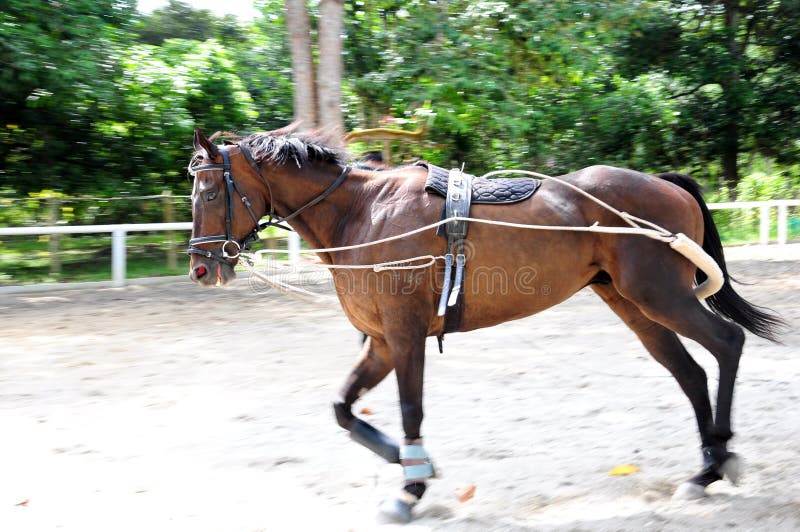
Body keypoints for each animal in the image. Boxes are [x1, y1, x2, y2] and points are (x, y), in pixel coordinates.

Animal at [187, 126, 782, 522]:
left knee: (727, 343)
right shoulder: (380, 342)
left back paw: (718, 457)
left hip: (660, 295)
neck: (364, 214)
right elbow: (343, 408)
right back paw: (705, 468)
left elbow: (410, 408)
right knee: (690, 373)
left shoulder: (405, 335)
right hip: (635, 305)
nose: (201, 267)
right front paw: (409, 465)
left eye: (211, 191)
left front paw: (411, 486)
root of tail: (666, 184)